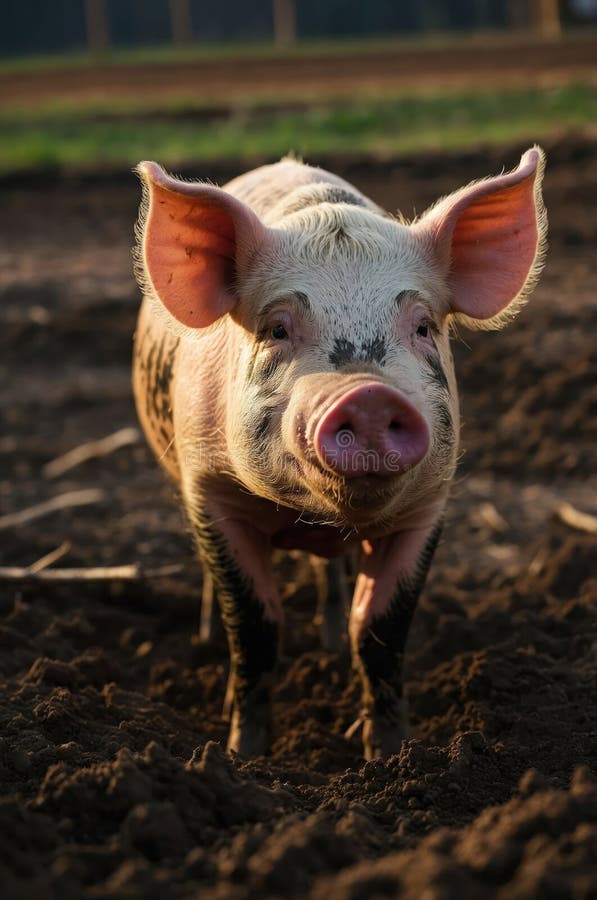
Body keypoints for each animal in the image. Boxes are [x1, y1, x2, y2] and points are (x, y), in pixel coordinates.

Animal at [132, 147, 547, 759]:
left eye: (424, 327)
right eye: (276, 328)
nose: (368, 395)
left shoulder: (428, 506)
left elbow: (377, 628)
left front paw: (388, 753)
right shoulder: (211, 490)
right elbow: (256, 628)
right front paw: (242, 752)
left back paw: (327, 640)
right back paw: (206, 636)